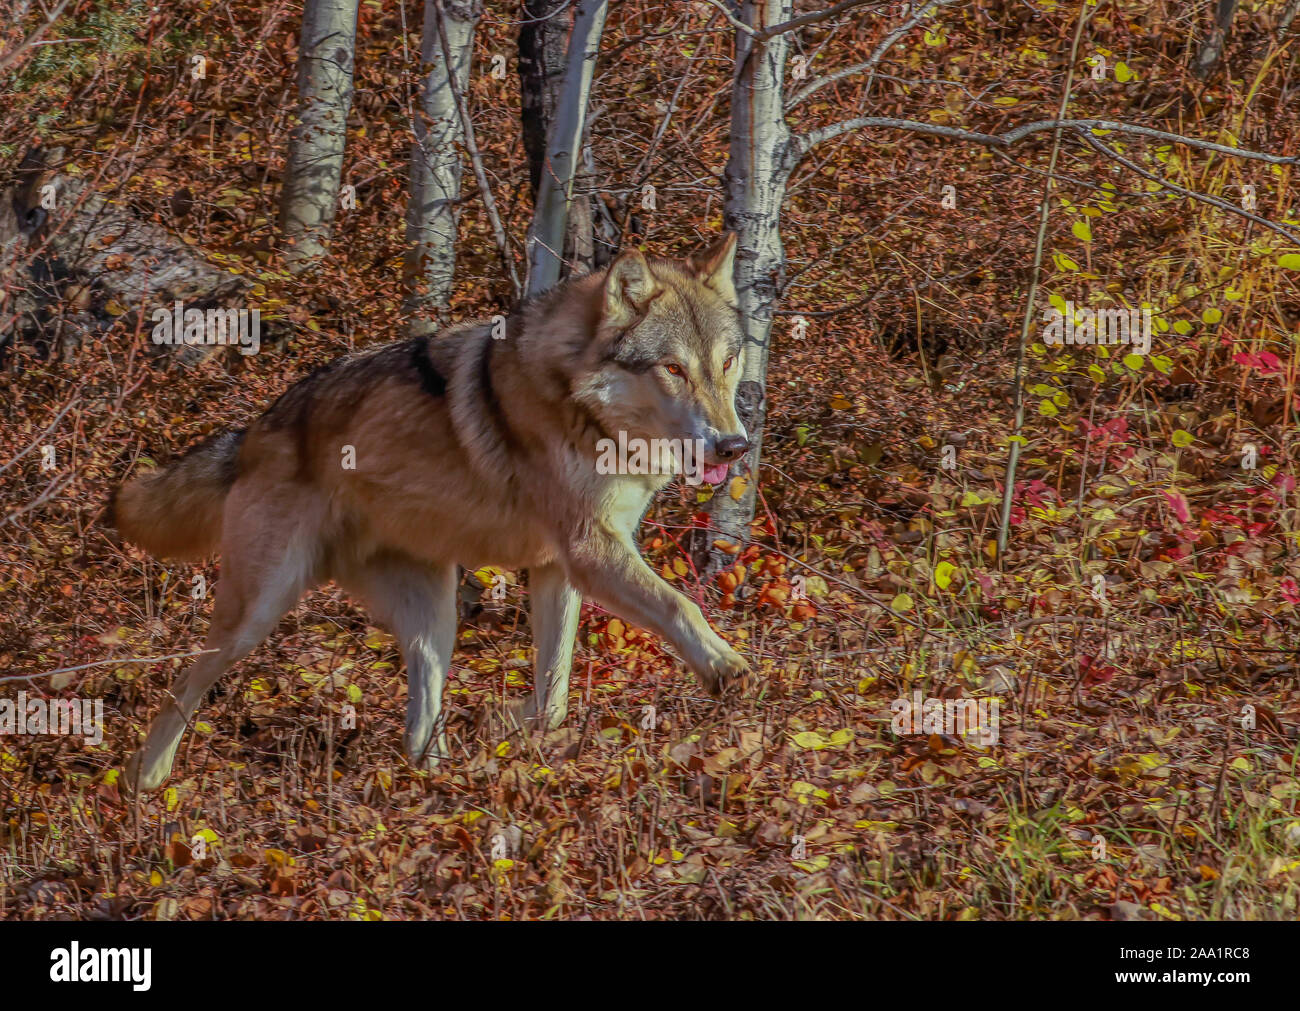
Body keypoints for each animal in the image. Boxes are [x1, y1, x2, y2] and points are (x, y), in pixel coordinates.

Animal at [113, 233, 752, 792]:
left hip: (434, 620)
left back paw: (440, 784)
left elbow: (554, 693)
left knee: (419, 728)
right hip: (256, 614)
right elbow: (680, 604)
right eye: (674, 368)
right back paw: (146, 782)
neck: (581, 405)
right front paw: (727, 668)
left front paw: (515, 727)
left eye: (725, 363)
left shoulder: (560, 568)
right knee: (182, 685)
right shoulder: (590, 552)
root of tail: (252, 433)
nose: (734, 446)